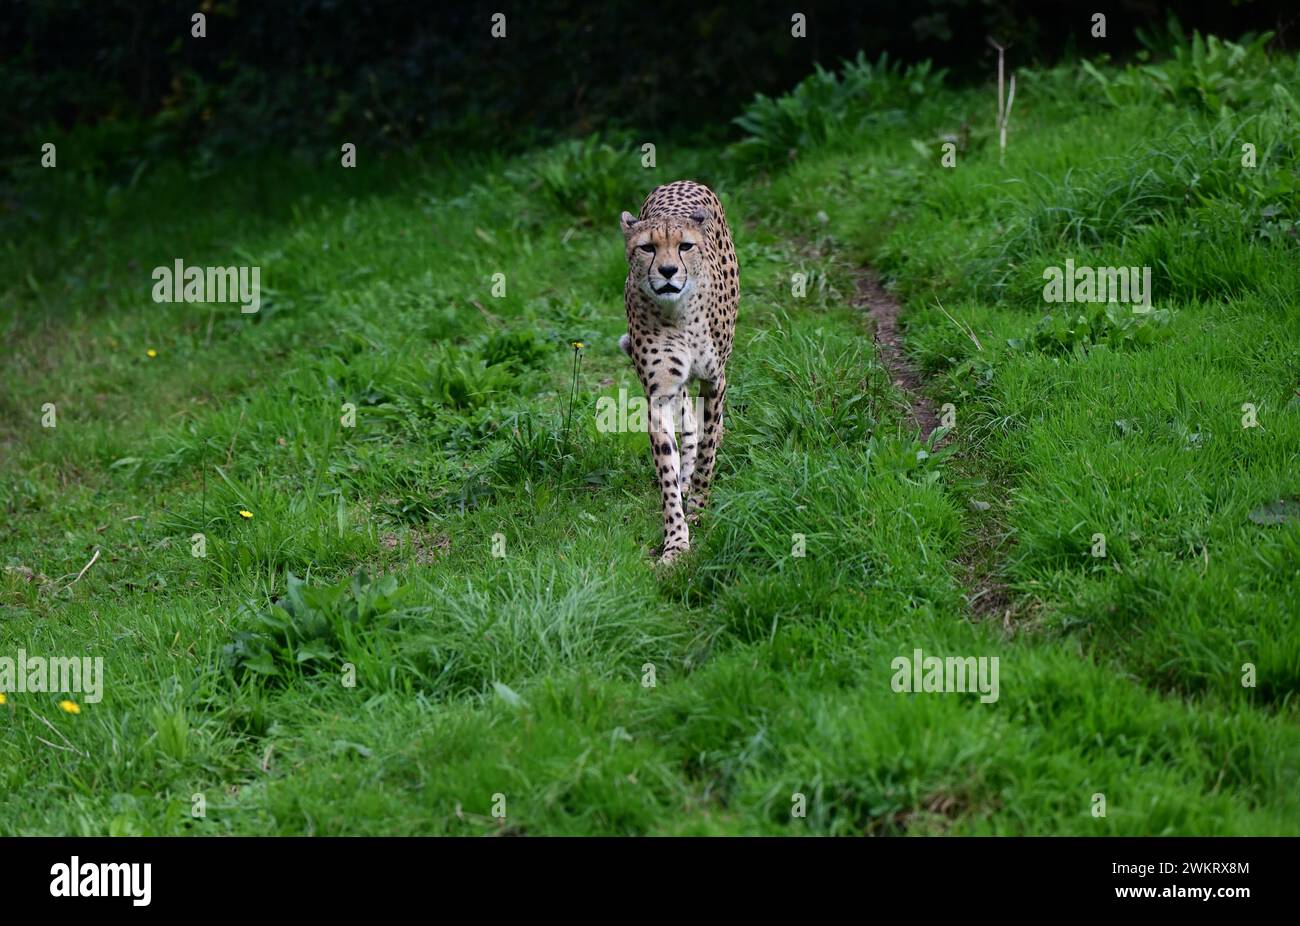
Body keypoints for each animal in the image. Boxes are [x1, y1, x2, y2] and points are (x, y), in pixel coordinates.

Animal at [617, 180, 739, 565]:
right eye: (647, 248)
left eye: (685, 246)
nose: (668, 272)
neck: (677, 314)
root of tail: (679, 182)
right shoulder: (658, 393)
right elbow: (668, 473)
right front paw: (675, 542)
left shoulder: (715, 379)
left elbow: (708, 447)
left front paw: (699, 506)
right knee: (686, 420)